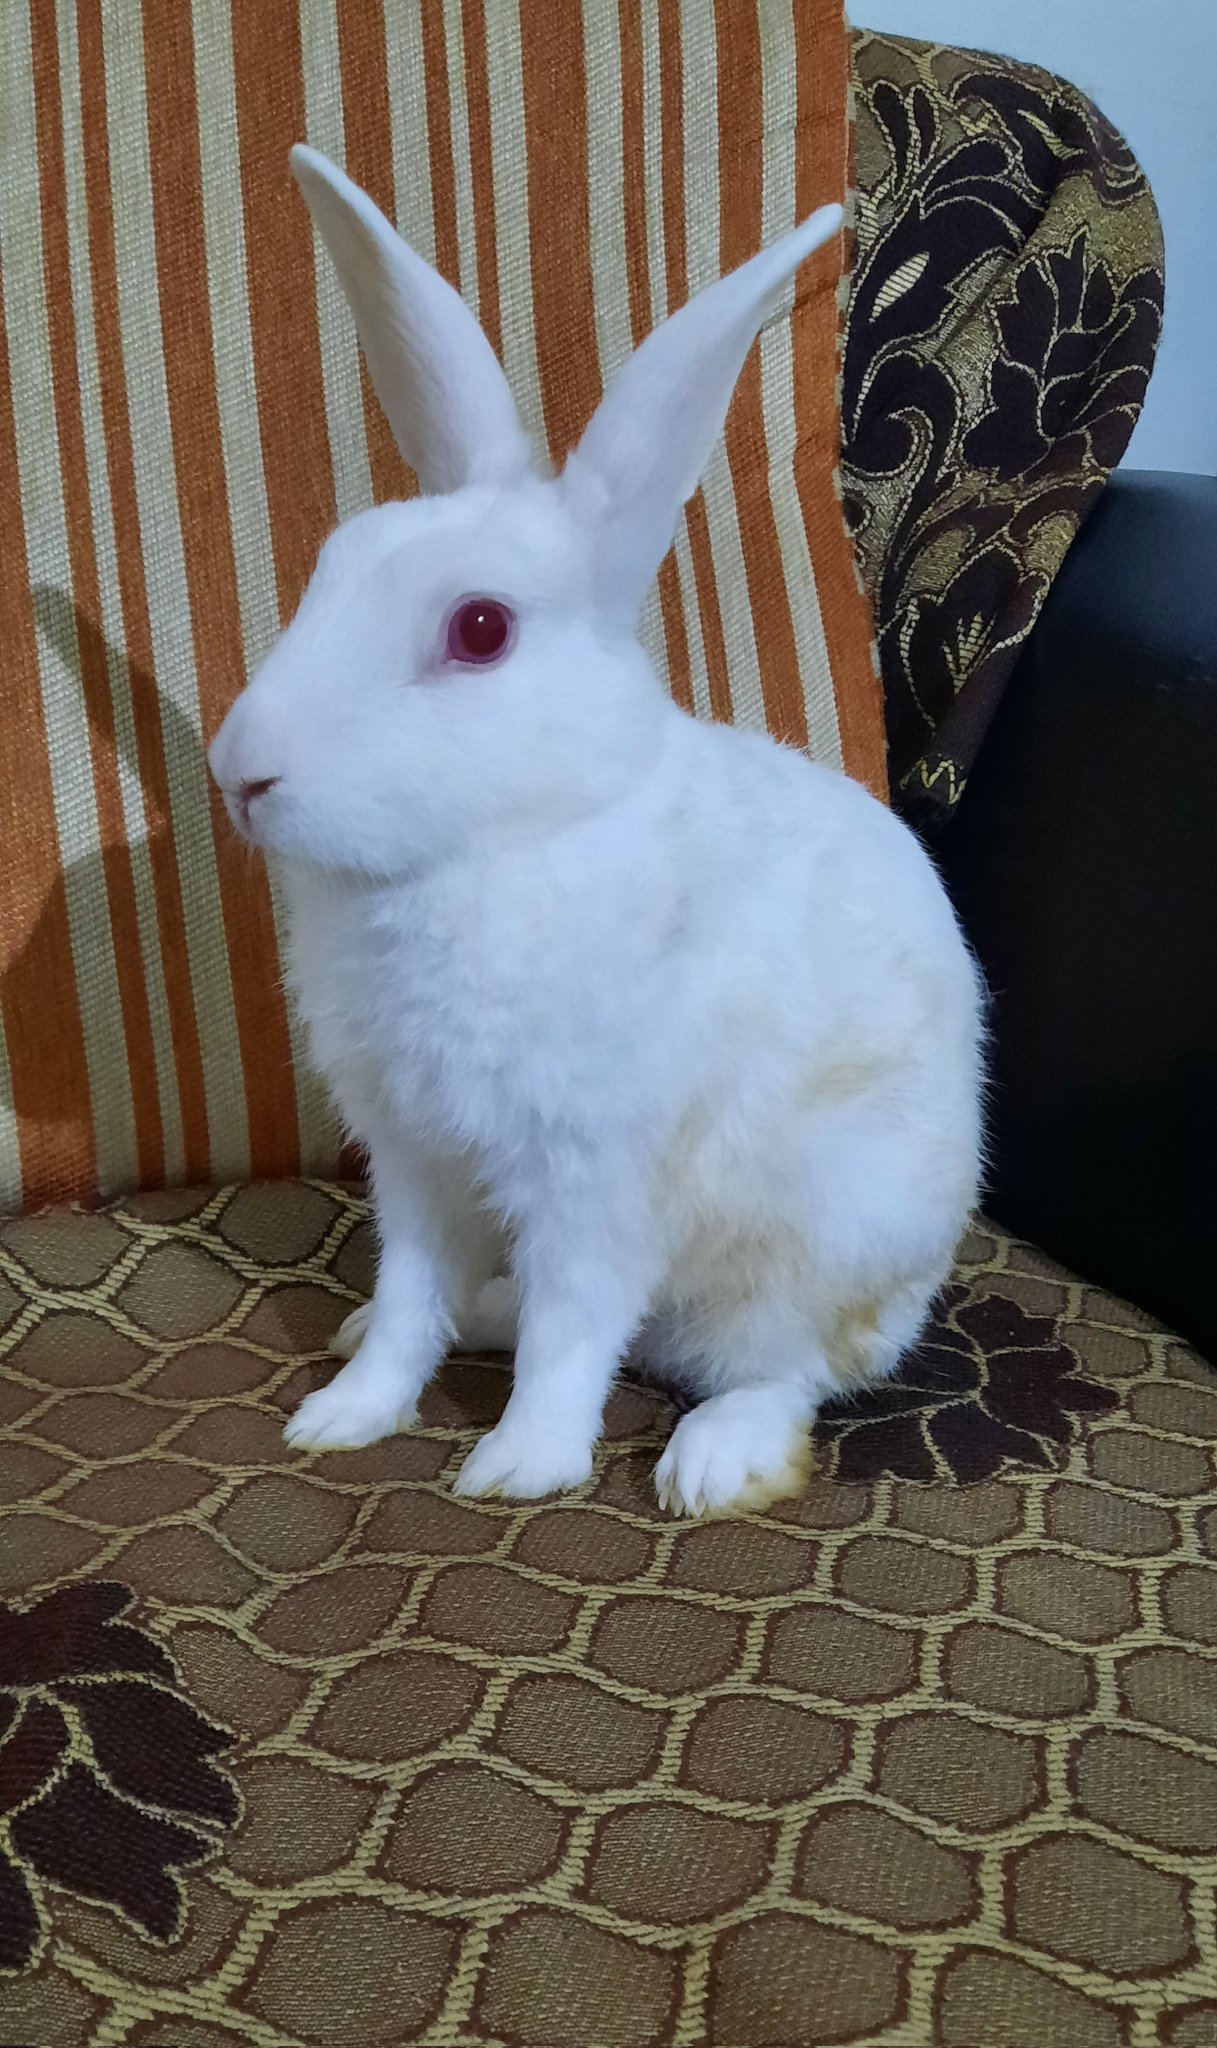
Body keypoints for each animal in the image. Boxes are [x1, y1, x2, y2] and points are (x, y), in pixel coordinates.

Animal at [208, 144, 984, 1518]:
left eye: (478, 629)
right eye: (330, 566)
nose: (242, 773)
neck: (504, 841)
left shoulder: (591, 1176)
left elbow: (573, 1326)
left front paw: (517, 1466)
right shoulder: (412, 1163)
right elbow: (405, 1298)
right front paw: (342, 1416)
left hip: (821, 1242)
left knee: (780, 1368)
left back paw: (712, 1461)